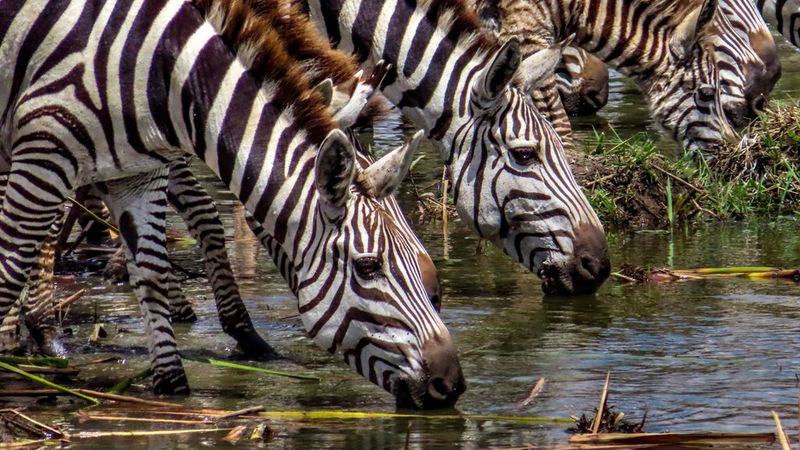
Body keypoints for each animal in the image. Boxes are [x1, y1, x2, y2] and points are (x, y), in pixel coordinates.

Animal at [0, 0, 462, 408]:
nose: (452, 384)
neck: (170, 73)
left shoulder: (138, 172)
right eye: (368, 267)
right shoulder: (45, 149)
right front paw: (33, 337)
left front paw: (175, 385)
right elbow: (13, 261)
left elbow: (151, 273)